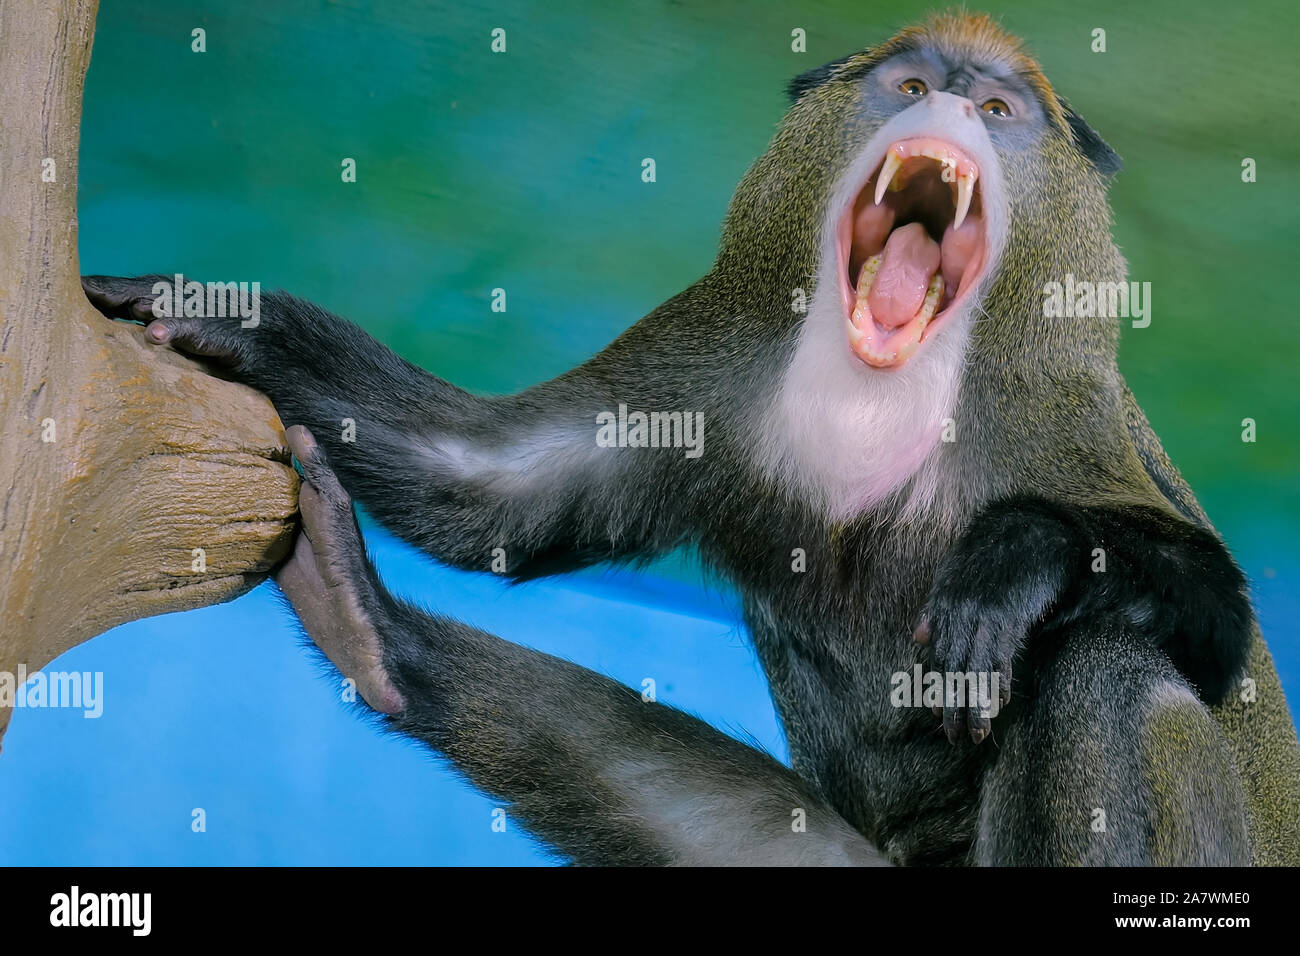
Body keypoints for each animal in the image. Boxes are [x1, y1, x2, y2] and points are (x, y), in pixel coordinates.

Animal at [82, 11, 1300, 866]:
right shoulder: (709, 355)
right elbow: (495, 490)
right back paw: (376, 638)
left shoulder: (1059, 414)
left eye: (999, 112)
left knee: (1112, 669)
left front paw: (1016, 561)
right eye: (911, 86)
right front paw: (226, 313)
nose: (951, 103)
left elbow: (1214, 622)